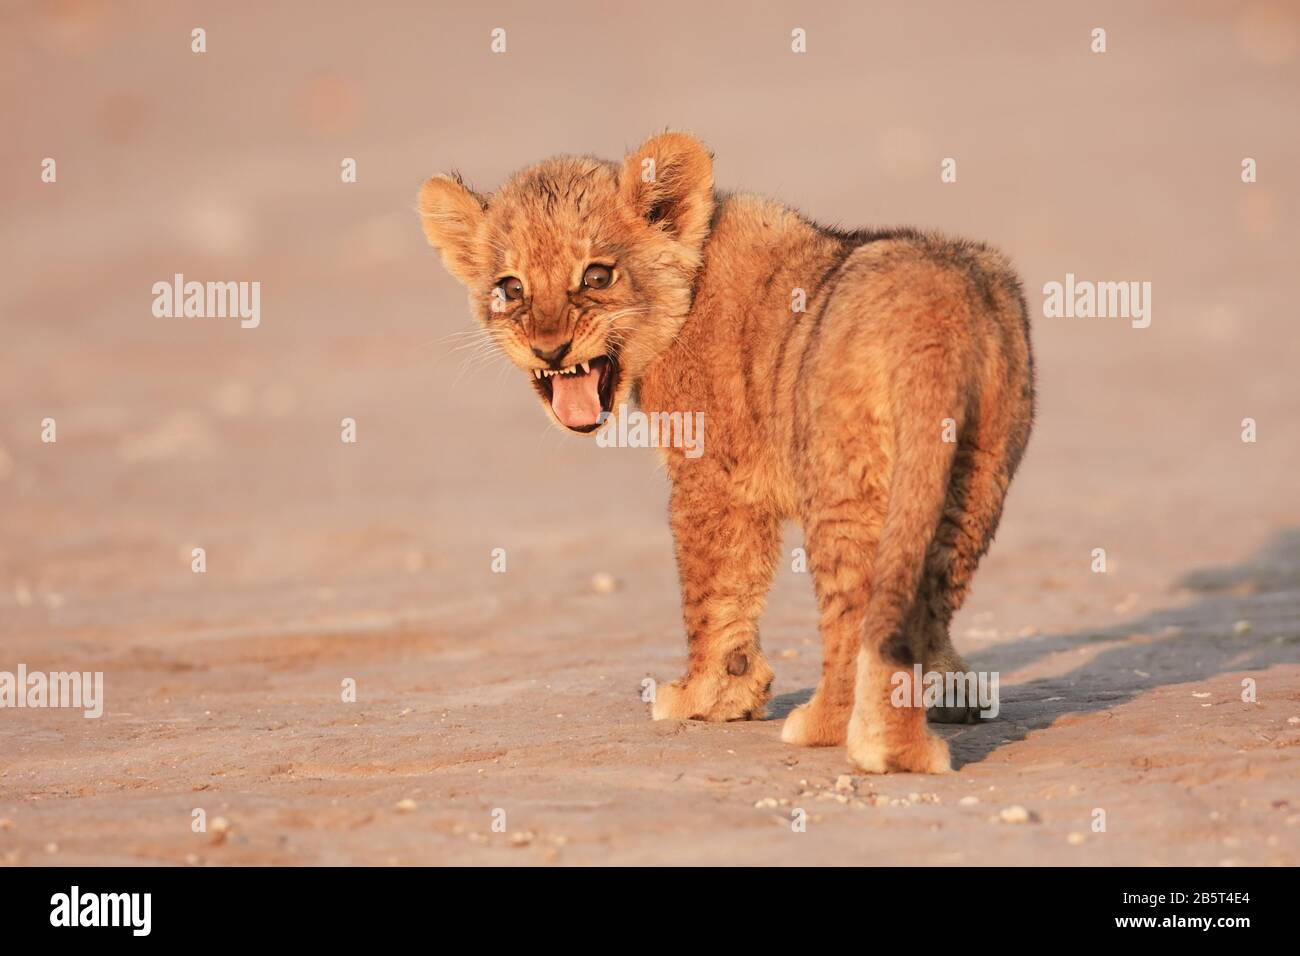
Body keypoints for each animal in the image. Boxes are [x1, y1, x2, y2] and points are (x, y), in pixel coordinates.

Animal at [417, 132, 1034, 773]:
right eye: (510, 288)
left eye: (597, 276)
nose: (550, 348)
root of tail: (937, 311)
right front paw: (954, 690)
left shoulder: (714, 479)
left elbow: (713, 590)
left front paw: (705, 696)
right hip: (974, 476)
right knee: (923, 596)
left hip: (842, 479)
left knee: (855, 611)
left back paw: (842, 732)